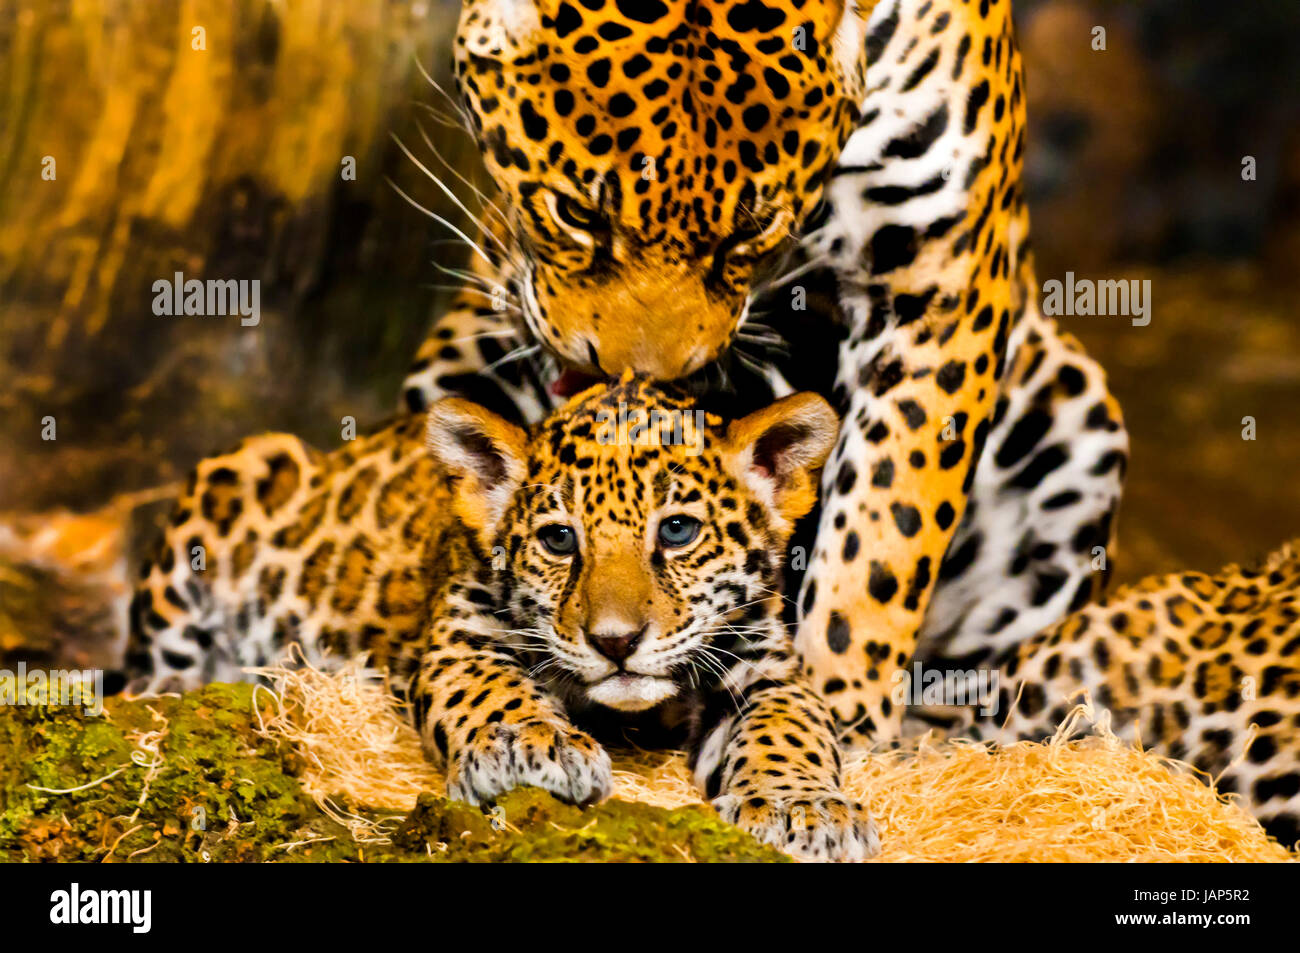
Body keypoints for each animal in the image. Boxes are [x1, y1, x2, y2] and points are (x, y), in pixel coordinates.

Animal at [127, 374, 879, 861]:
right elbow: (493, 692)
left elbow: (790, 730)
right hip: (233, 478)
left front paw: (804, 808)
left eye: (677, 530)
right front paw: (532, 746)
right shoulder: (462, 639)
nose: (615, 642)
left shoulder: (768, 669)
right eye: (559, 540)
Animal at [399, 0, 1129, 747]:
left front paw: (841, 712)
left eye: (750, 233)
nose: (630, 380)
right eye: (576, 213)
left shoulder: (940, 286)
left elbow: (882, 541)